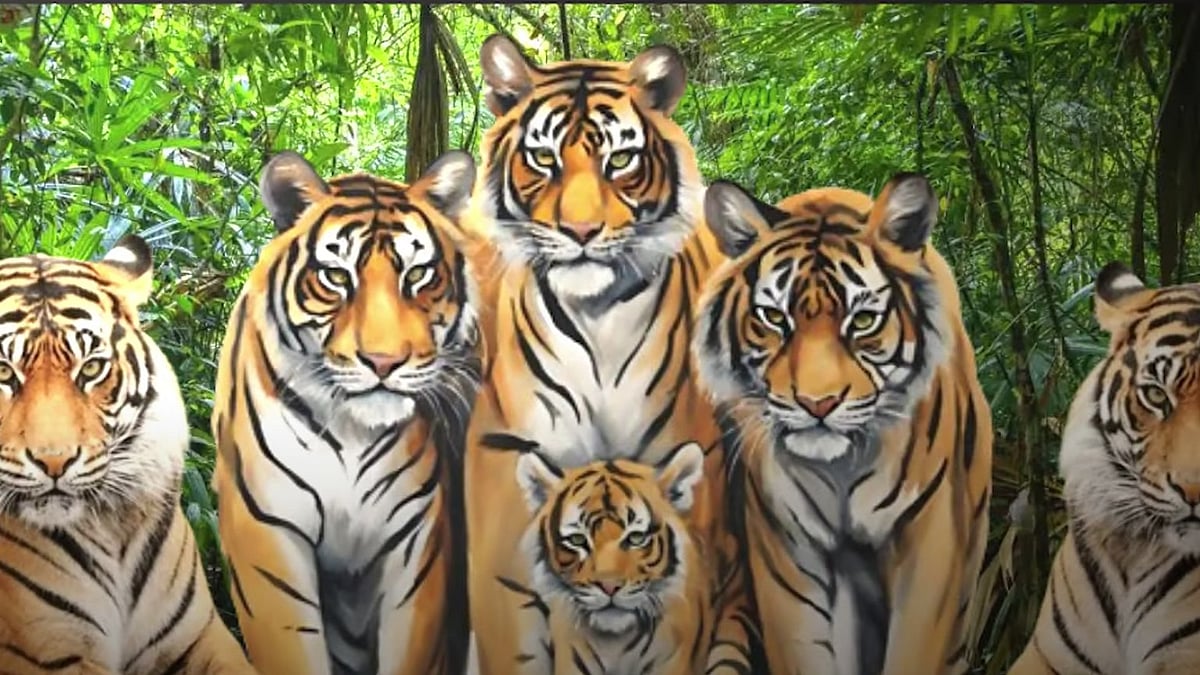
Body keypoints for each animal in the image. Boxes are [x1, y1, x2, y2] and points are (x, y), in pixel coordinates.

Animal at [0, 236, 256, 675]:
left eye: (90, 369)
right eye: (3, 372)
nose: (54, 462)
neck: (112, 527)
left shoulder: (199, 637)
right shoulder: (49, 652)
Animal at [209, 149, 482, 675]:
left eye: (417, 274)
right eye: (337, 277)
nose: (383, 361)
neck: (351, 433)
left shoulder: (415, 542)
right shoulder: (267, 531)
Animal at [692, 173, 994, 675]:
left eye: (864, 319)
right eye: (774, 317)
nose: (819, 403)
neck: (841, 471)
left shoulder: (930, 539)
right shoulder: (786, 548)